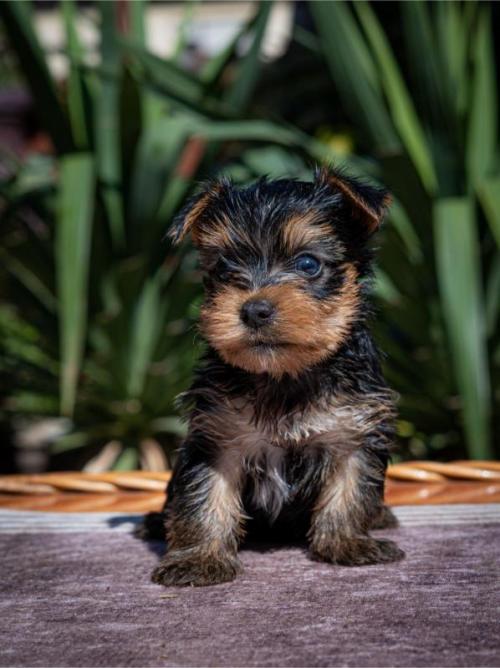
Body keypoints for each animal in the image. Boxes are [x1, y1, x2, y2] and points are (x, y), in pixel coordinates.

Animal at [146, 166, 404, 584]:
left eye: (308, 264)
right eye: (224, 266)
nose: (255, 310)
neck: (283, 375)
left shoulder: (353, 430)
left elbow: (350, 490)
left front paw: (348, 543)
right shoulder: (216, 437)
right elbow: (204, 497)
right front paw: (197, 559)